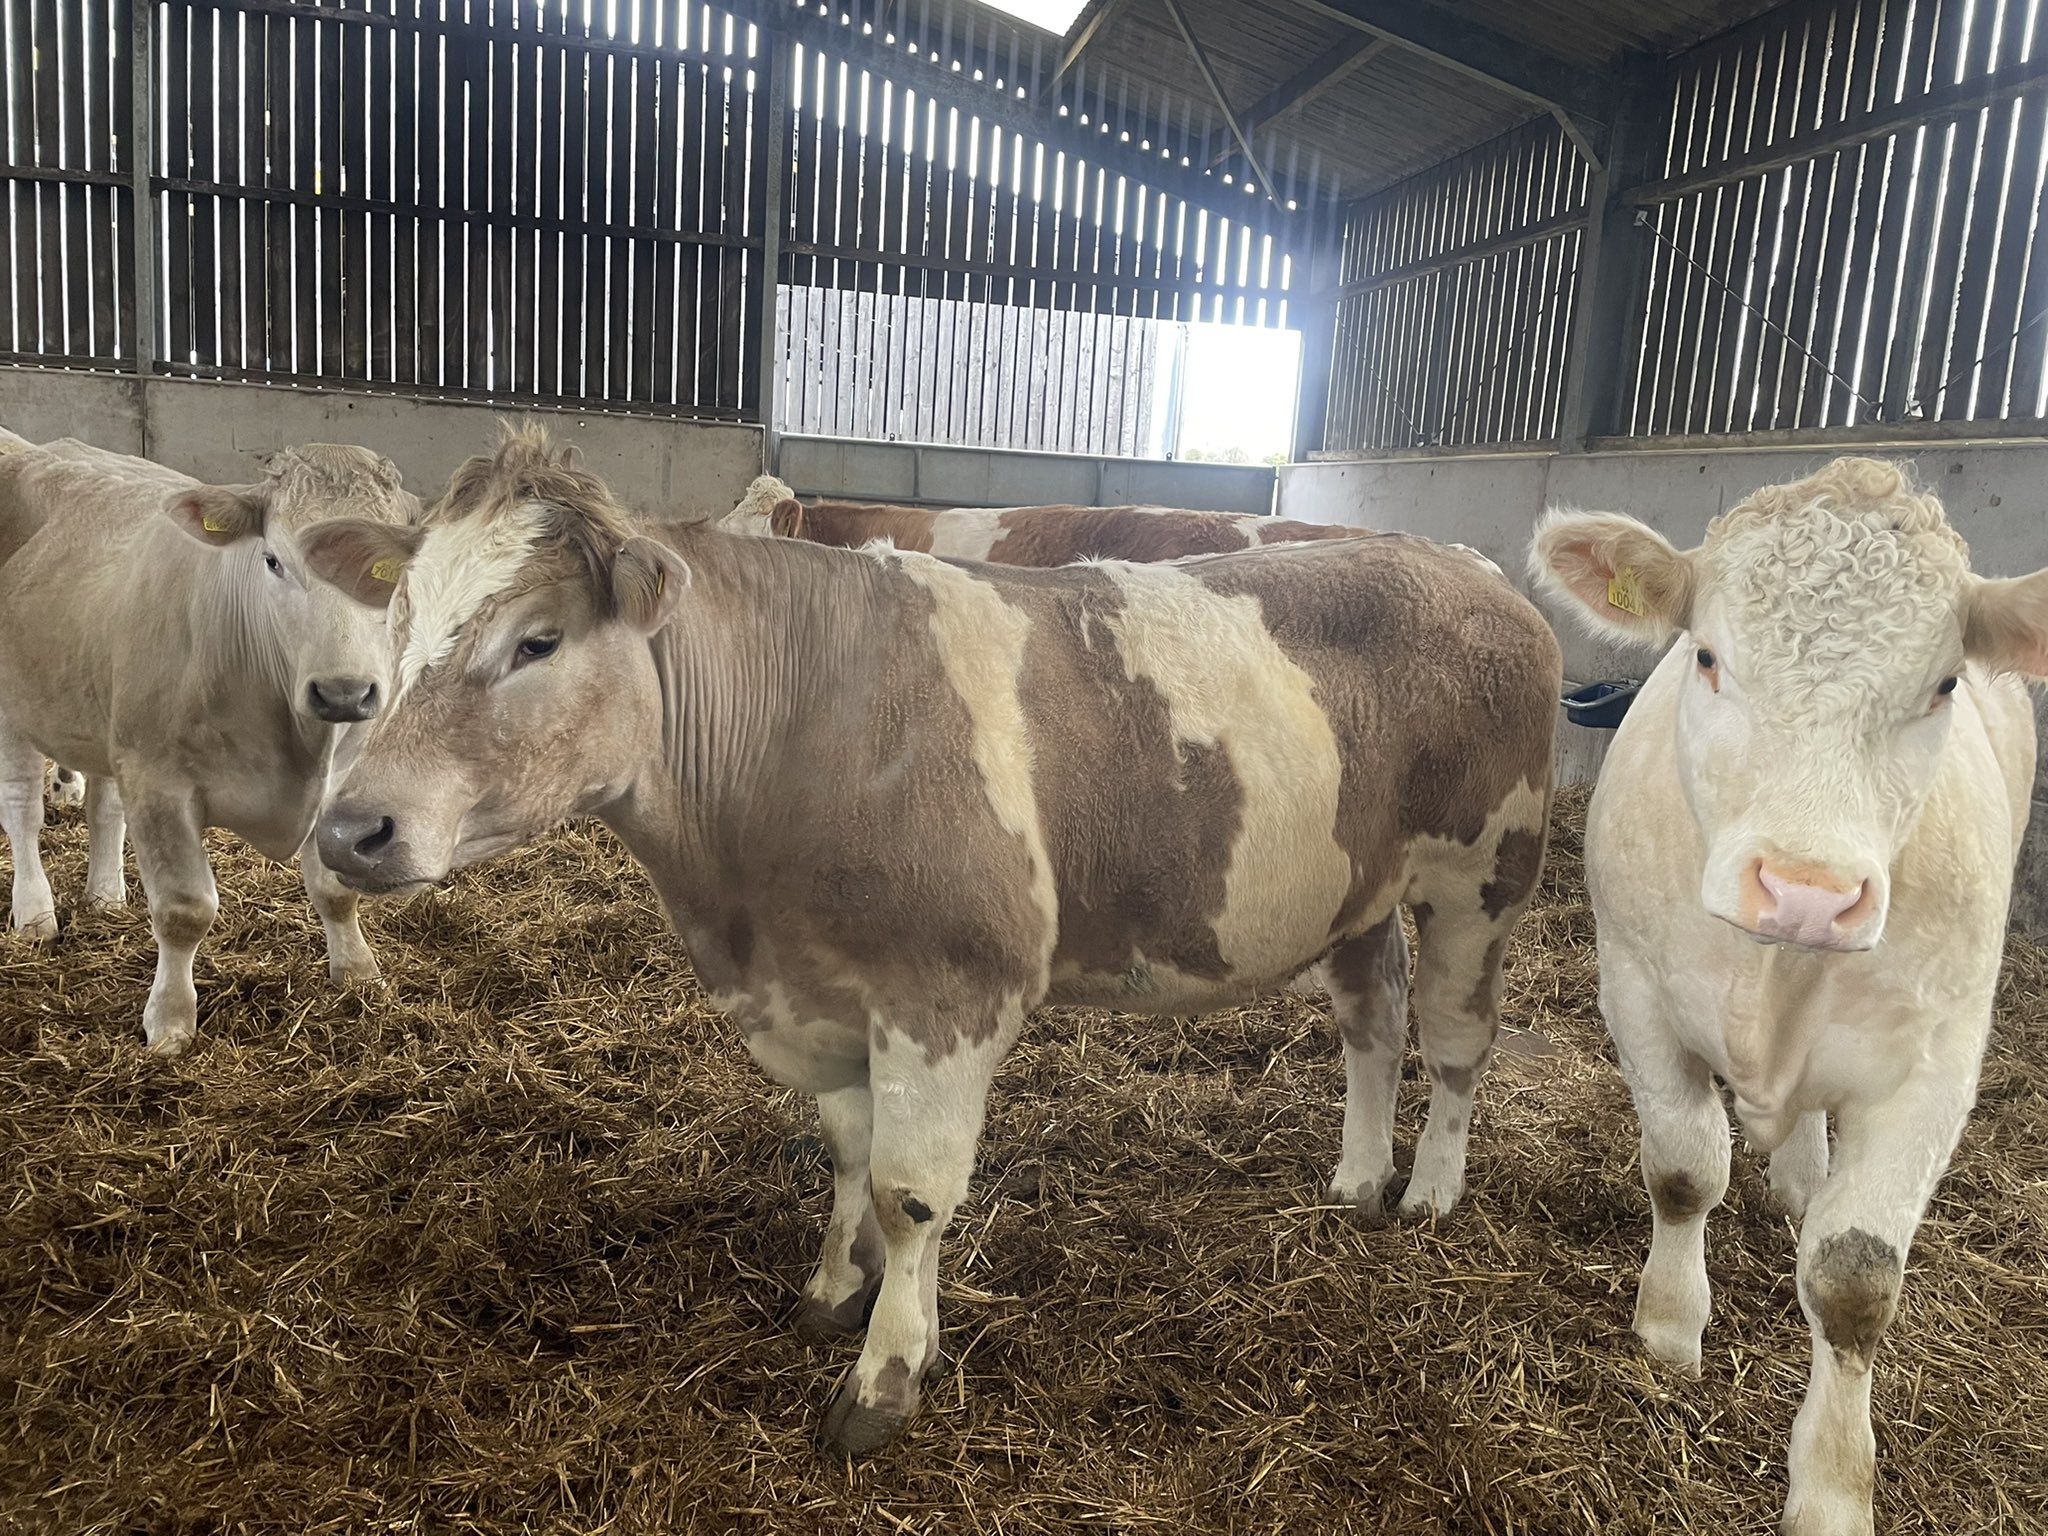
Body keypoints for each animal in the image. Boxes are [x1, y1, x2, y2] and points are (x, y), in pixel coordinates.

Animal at [0, 436, 420, 1055]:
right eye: (273, 560)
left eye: (393, 572)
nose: (343, 691)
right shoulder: (159, 781)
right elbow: (184, 910)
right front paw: (170, 1022)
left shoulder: (341, 778)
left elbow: (335, 888)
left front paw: (358, 974)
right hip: (16, 708)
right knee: (23, 813)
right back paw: (35, 917)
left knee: (104, 808)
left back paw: (105, 897)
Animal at [304, 426, 1561, 1453]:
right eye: (398, 621)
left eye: (538, 641)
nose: (351, 828)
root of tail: (1460, 561)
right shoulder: (818, 992)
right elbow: (849, 1153)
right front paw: (831, 1290)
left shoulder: (945, 991)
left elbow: (909, 1192)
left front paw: (884, 1378)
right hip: (1356, 887)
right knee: (1371, 1019)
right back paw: (1352, 1181)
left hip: (1481, 874)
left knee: (1456, 1038)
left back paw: (1428, 1195)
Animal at [1529, 457, 2045, 1536]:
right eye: (1707, 657)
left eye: (1941, 685)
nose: (1808, 892)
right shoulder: (1635, 993)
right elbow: (1684, 1172)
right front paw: (1668, 1332)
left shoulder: (1937, 1066)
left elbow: (1852, 1281)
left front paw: (1833, 1486)